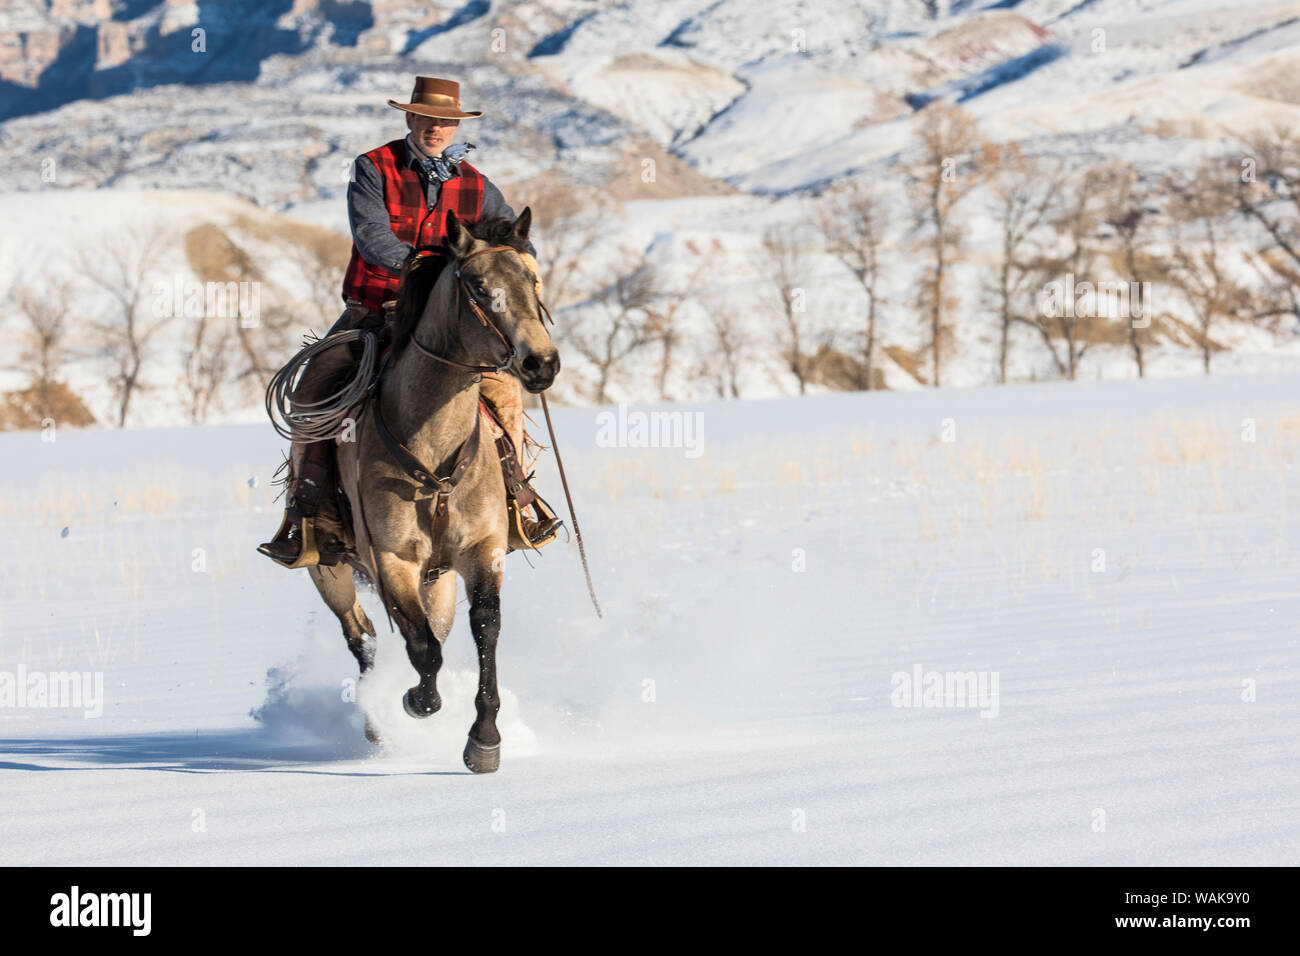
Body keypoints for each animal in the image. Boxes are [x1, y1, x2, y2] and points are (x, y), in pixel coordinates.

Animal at [308, 207, 559, 773]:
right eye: (479, 286)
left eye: (534, 280)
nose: (542, 363)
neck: (434, 452)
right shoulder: (392, 559)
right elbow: (422, 647)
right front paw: (417, 702)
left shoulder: (482, 550)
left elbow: (482, 627)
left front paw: (484, 739)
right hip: (328, 569)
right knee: (363, 638)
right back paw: (377, 724)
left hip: (438, 576)